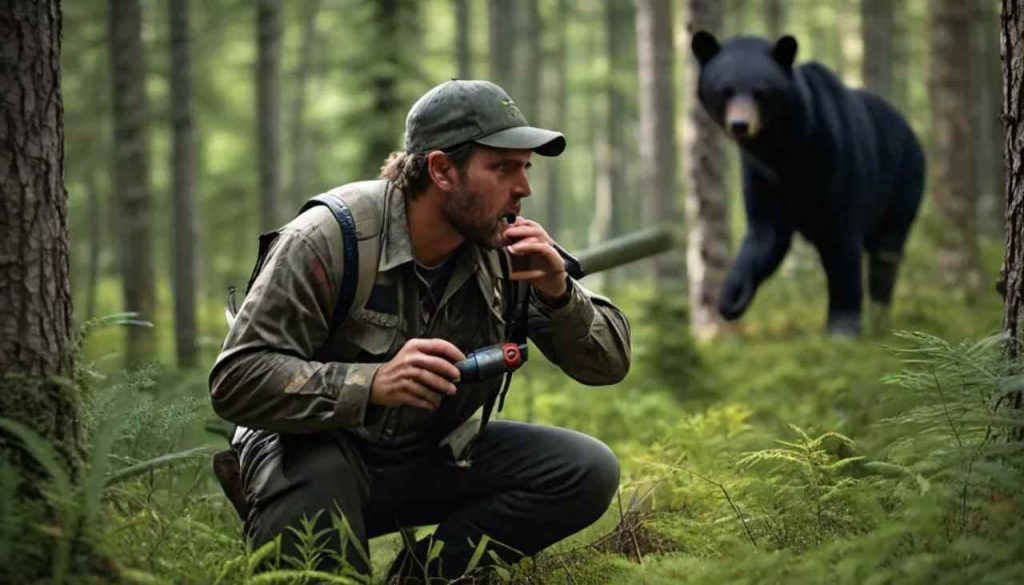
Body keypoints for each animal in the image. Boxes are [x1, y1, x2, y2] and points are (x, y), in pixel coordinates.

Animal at [690, 31, 925, 336]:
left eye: (760, 92)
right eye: (725, 90)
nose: (740, 124)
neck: (789, 150)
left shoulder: (836, 160)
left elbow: (842, 242)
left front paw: (842, 325)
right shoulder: (762, 176)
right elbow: (765, 236)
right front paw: (732, 297)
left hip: (902, 180)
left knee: (887, 251)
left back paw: (879, 315)